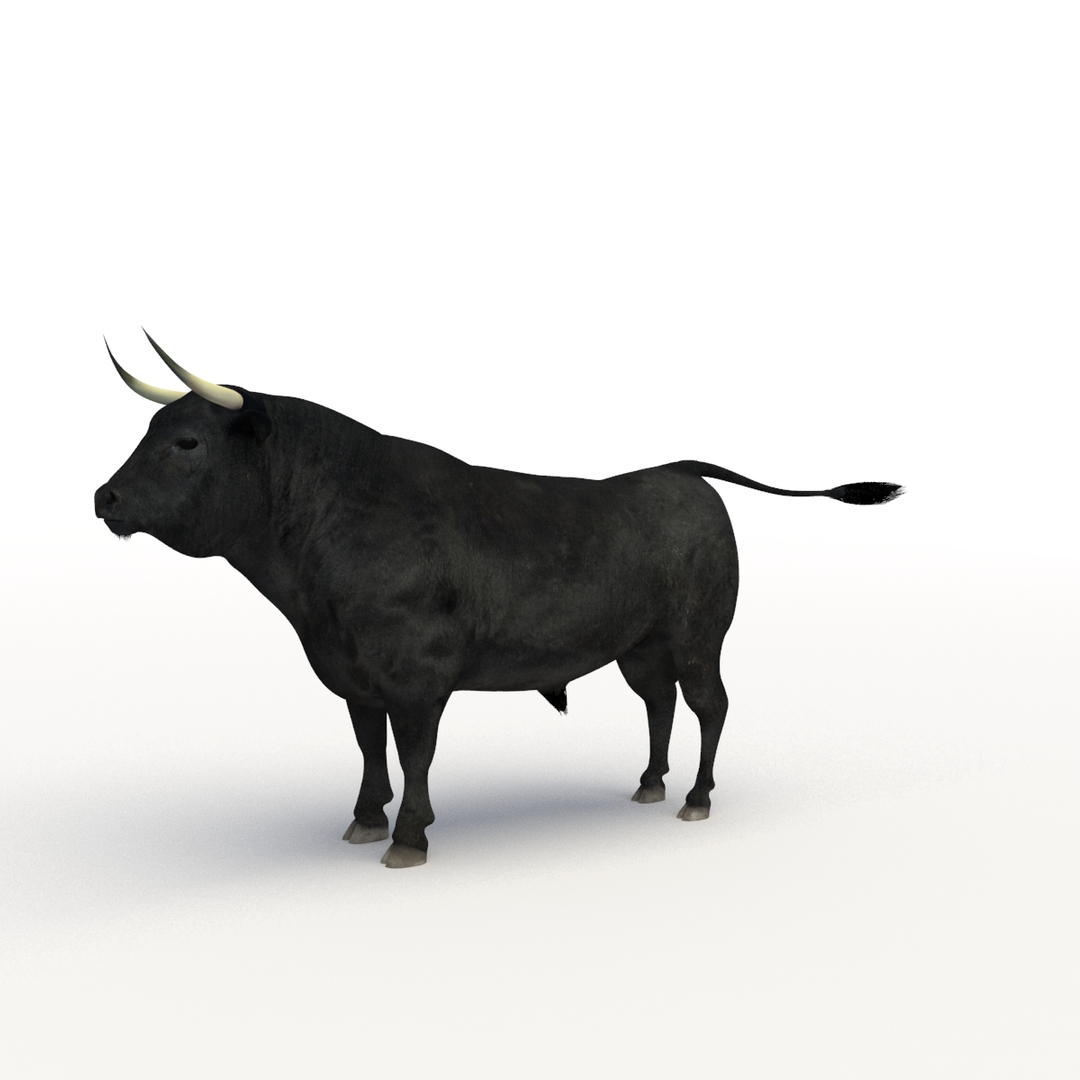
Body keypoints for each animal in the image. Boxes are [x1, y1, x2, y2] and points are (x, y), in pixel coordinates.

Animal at [95, 332, 902, 867]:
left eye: (188, 442)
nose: (104, 498)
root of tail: (679, 470)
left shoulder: (417, 678)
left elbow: (415, 751)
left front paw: (408, 837)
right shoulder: (354, 675)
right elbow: (369, 746)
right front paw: (364, 819)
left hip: (701, 634)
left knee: (710, 704)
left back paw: (696, 799)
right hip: (639, 647)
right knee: (659, 703)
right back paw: (648, 785)